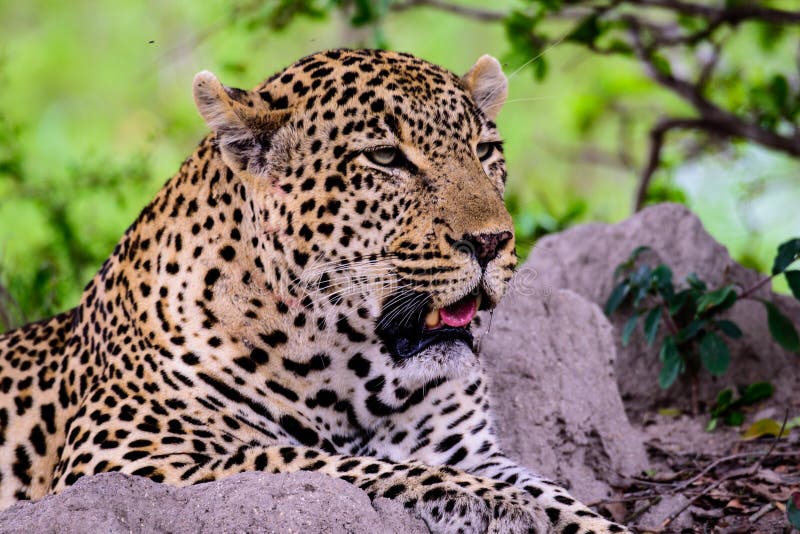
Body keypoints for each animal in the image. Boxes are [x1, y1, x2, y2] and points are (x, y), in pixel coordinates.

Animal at [0, 49, 629, 533]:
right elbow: (306, 460)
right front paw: (491, 502)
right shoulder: (125, 456)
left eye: (485, 150)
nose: (494, 241)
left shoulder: (471, 449)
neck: (354, 374)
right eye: (385, 157)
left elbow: (567, 502)